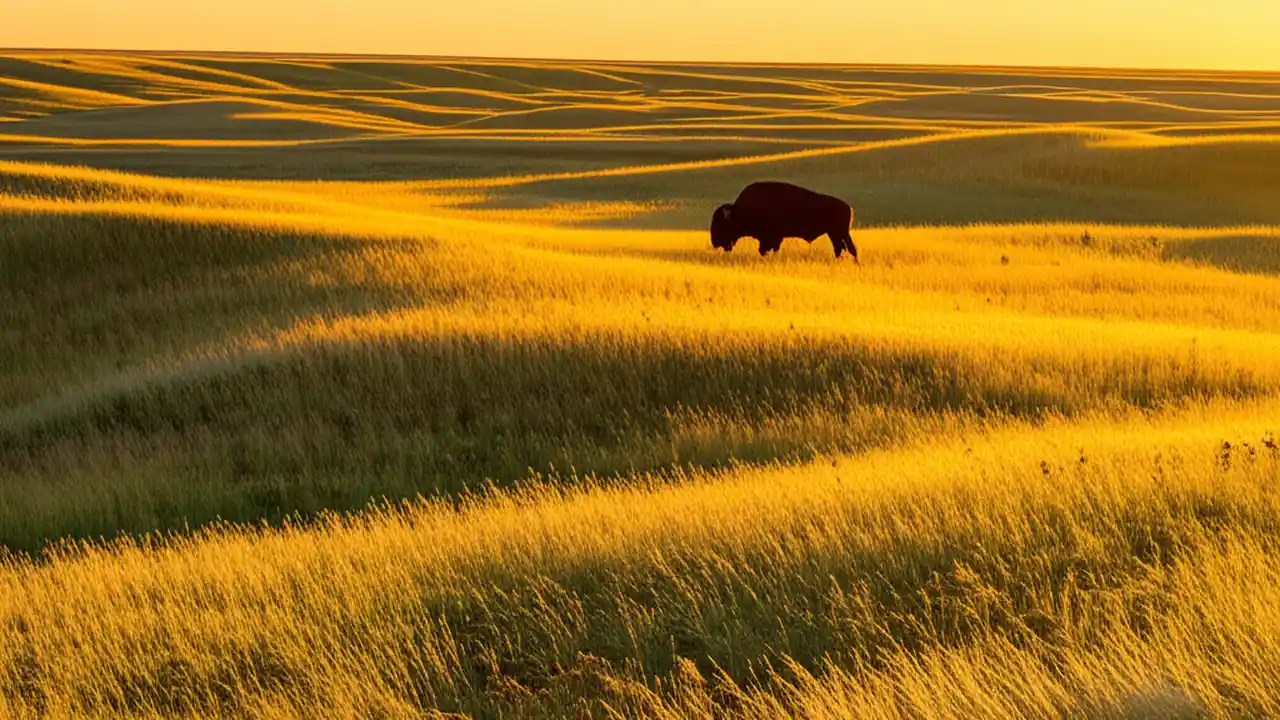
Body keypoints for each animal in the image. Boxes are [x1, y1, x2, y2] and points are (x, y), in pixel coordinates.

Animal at [710, 181, 857, 261]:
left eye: (720, 223)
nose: (714, 242)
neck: (738, 211)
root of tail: (848, 206)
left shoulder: (771, 238)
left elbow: (767, 249)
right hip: (834, 234)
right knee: (841, 249)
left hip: (840, 233)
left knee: (849, 249)